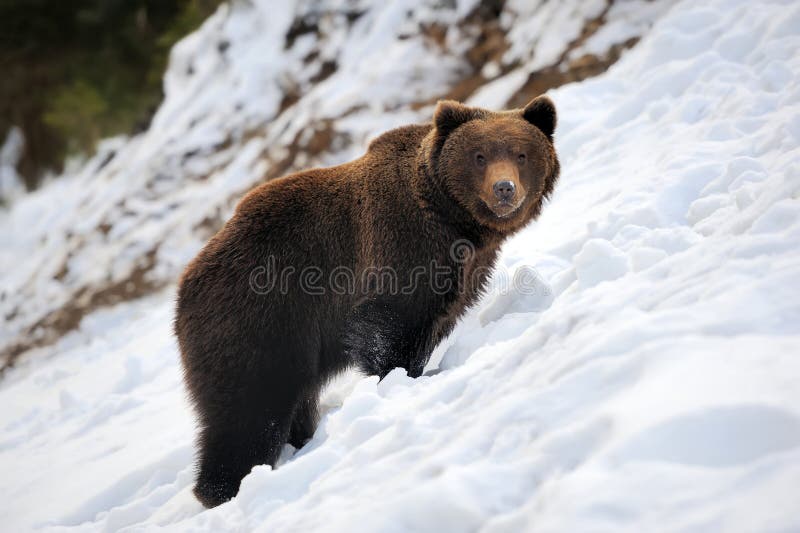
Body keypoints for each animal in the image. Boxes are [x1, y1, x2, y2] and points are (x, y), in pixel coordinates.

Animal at [175, 96, 560, 508]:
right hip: (258, 321)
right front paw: (399, 379)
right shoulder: (399, 243)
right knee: (248, 413)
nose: (504, 189)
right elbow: (389, 324)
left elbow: (434, 321)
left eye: (521, 153)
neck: (454, 220)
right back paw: (225, 488)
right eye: (479, 155)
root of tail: (184, 288)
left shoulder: (465, 272)